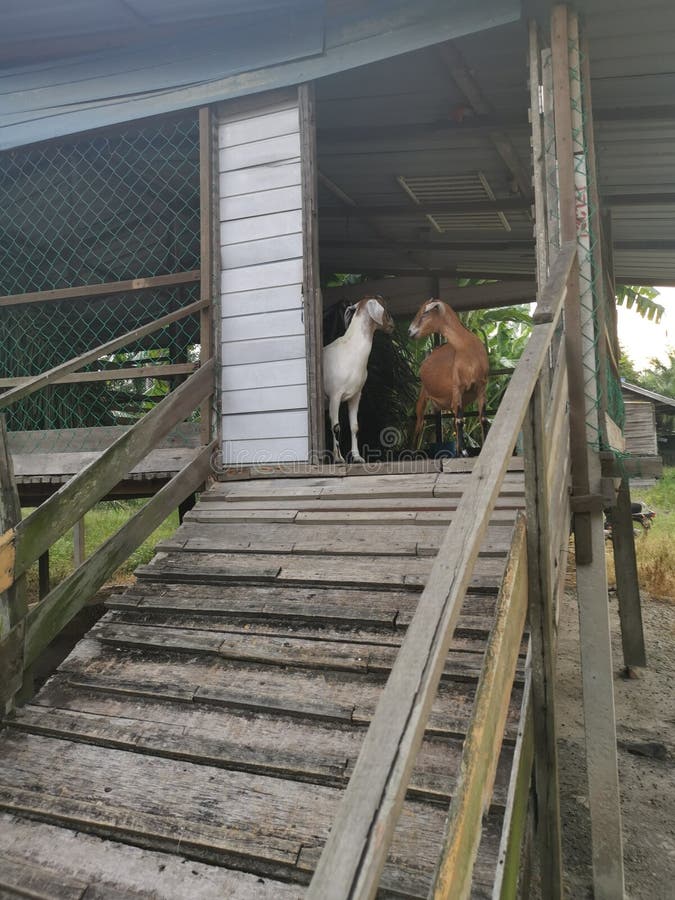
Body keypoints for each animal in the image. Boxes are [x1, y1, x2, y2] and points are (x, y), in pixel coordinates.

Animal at [323, 295, 394, 463]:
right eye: (384, 306)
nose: (392, 325)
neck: (351, 351)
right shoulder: (335, 395)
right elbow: (336, 426)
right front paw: (339, 459)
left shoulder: (355, 395)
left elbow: (354, 427)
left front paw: (357, 457)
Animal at [408, 299, 489, 455]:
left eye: (425, 312)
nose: (409, 331)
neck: (467, 348)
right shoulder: (457, 386)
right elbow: (460, 420)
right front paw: (464, 451)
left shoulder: (481, 386)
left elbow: (483, 418)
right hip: (423, 394)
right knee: (419, 424)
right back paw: (414, 452)